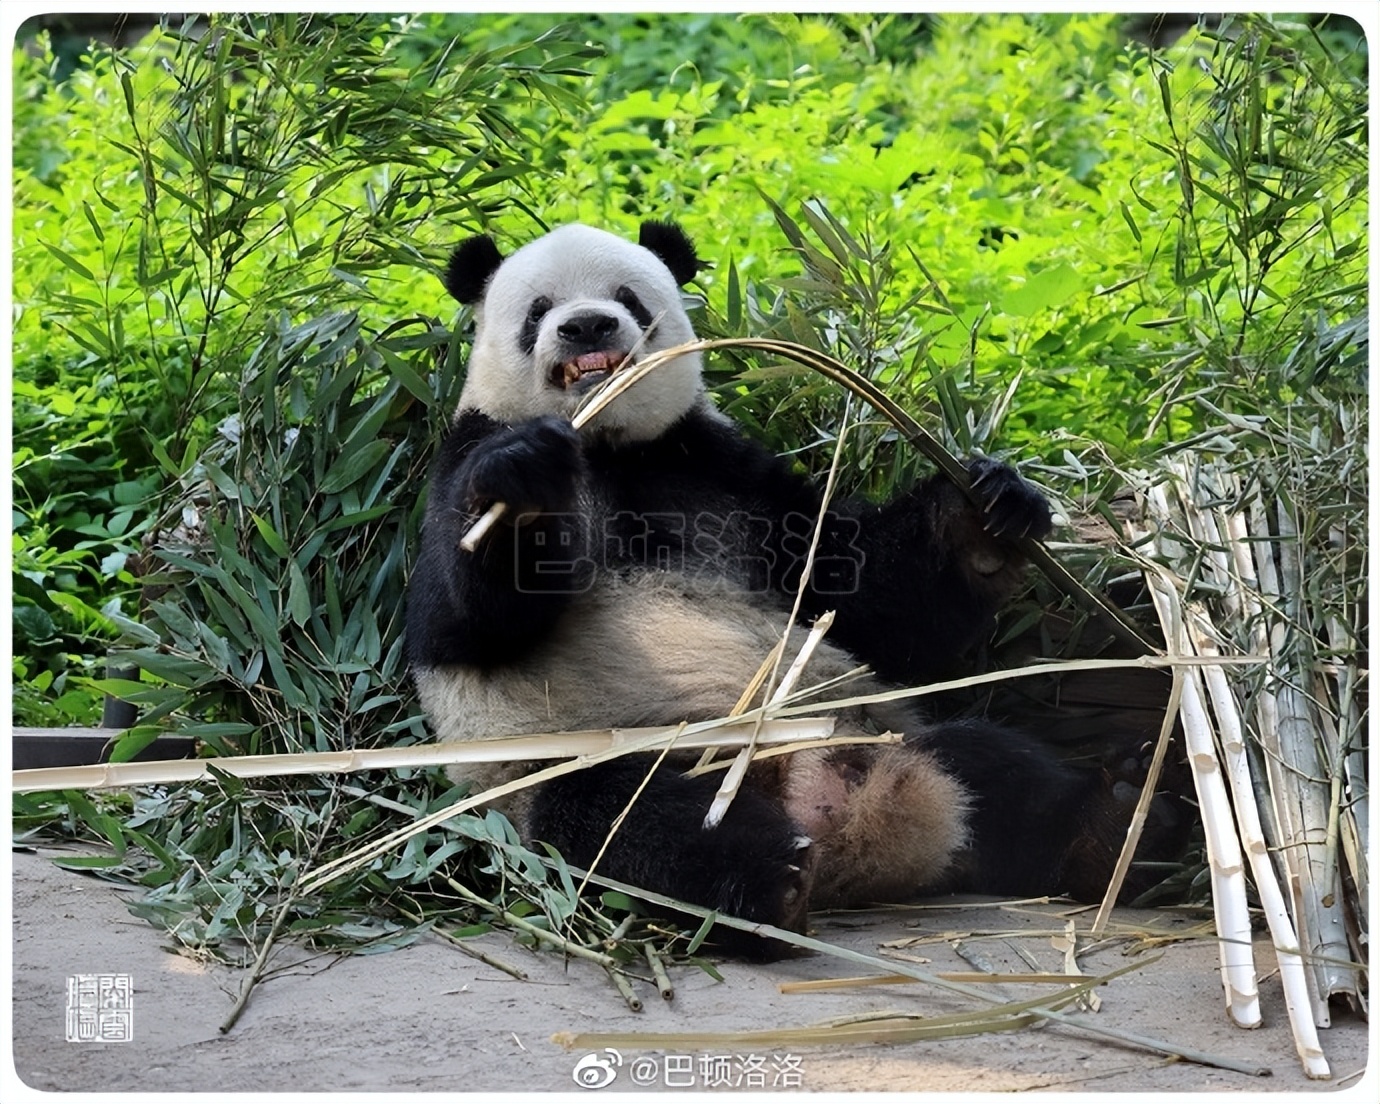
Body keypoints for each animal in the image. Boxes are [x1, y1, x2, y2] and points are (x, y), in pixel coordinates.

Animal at [406, 220, 1176, 954]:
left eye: (629, 299)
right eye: (539, 310)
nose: (589, 326)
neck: (606, 444)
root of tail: (841, 821)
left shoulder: (719, 470)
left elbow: (868, 596)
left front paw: (986, 515)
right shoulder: (463, 456)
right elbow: (462, 623)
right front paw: (523, 484)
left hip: (885, 731)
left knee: (998, 773)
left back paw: (1119, 822)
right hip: (588, 759)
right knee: (632, 822)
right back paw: (764, 883)